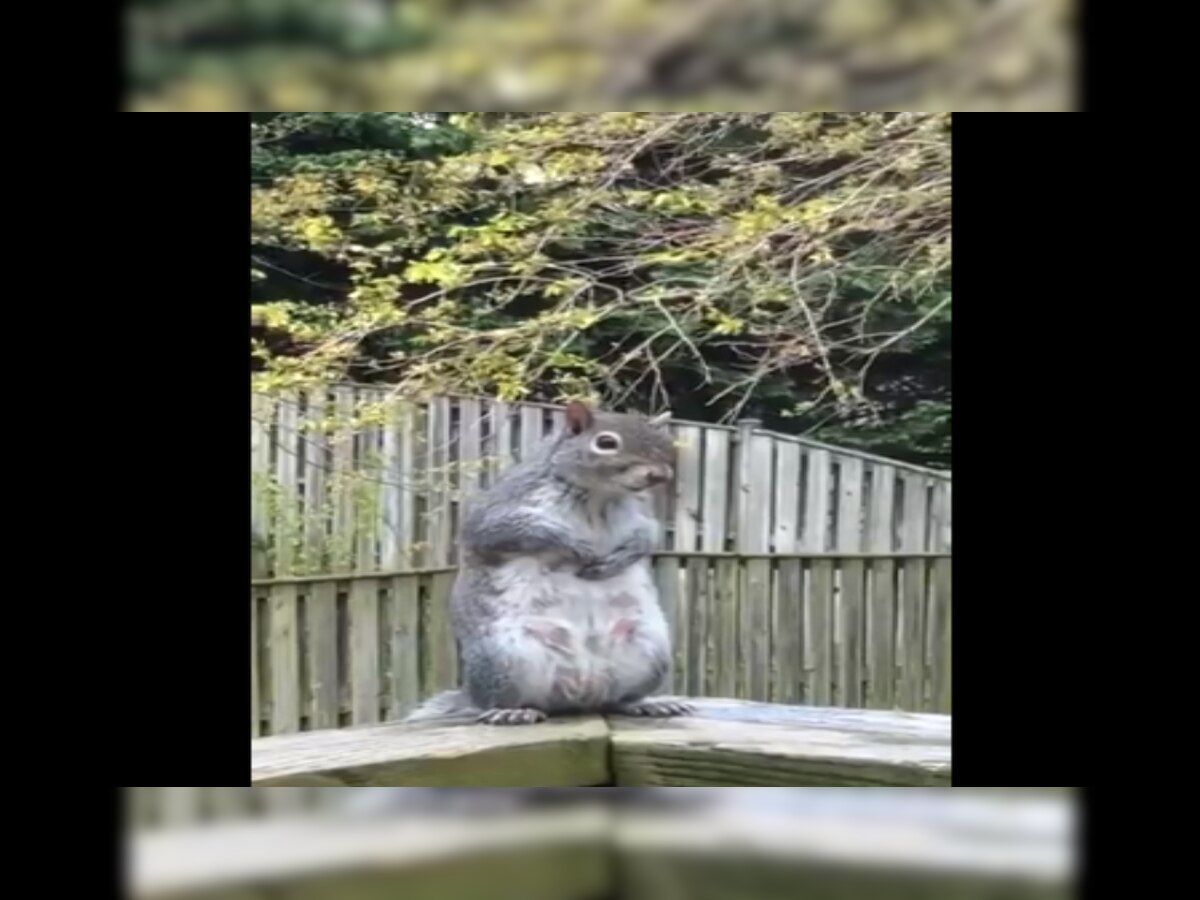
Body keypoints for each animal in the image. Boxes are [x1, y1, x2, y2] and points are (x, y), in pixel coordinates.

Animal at [404, 400, 694, 725]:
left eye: (663, 441)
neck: (598, 496)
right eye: (606, 443)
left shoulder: (640, 515)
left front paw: (619, 558)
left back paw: (646, 703)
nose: (659, 475)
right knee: (500, 701)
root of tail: (583, 693)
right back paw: (510, 711)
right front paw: (574, 545)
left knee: (618, 699)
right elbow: (504, 531)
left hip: (648, 650)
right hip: (505, 658)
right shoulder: (503, 507)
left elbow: (647, 536)